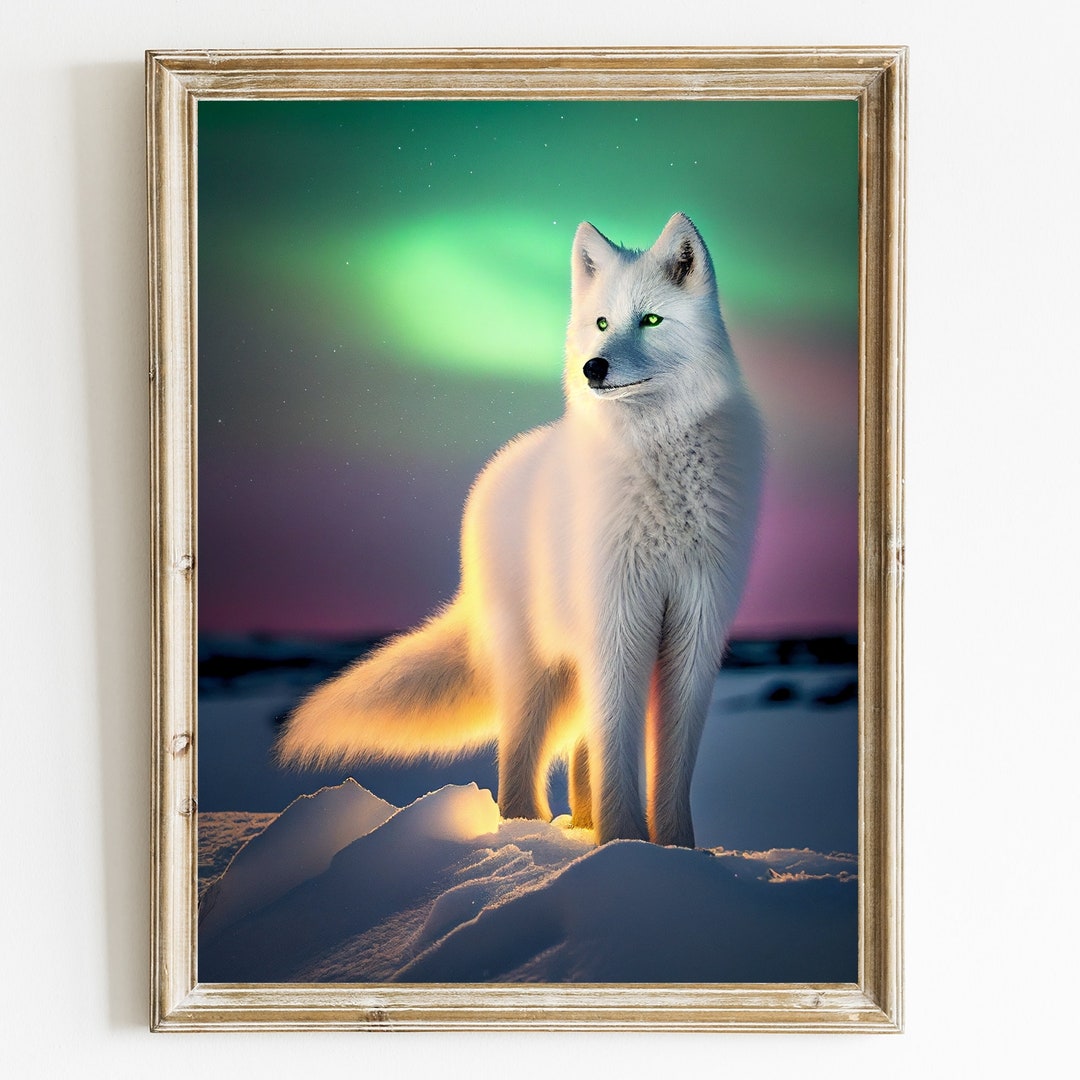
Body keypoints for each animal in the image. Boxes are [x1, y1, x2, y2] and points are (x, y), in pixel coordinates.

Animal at [277, 213, 763, 847]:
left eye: (651, 320)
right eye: (601, 322)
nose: (593, 367)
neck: (661, 470)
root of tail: (493, 475)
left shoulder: (695, 626)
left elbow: (671, 764)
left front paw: (674, 853)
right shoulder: (620, 623)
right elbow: (618, 753)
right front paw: (627, 845)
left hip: (575, 672)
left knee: (578, 755)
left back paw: (580, 826)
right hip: (539, 677)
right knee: (519, 763)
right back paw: (526, 834)